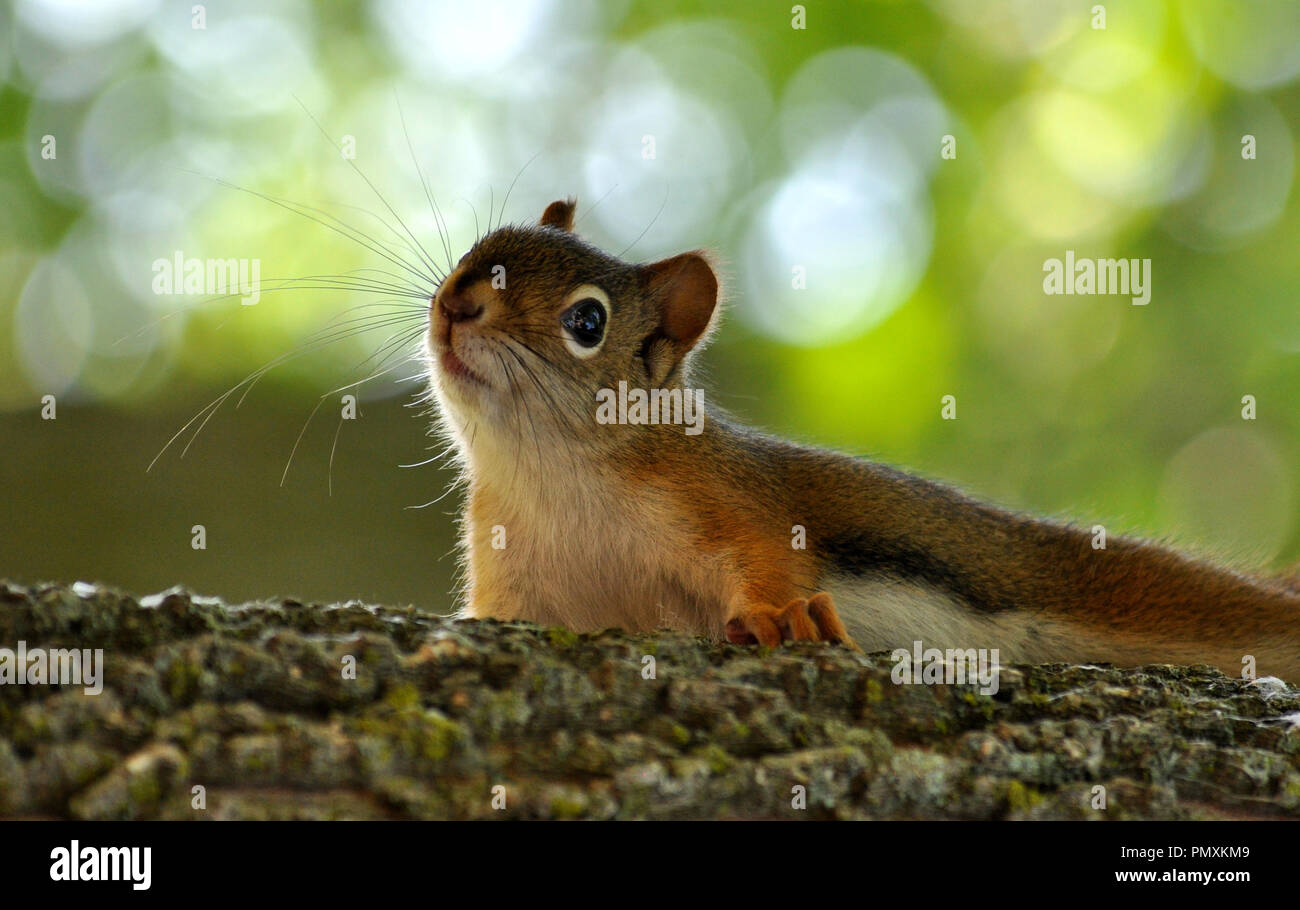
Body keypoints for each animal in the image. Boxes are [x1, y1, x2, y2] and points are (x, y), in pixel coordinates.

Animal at [425, 198, 1300, 682]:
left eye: (587, 321)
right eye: (478, 247)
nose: (455, 303)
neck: (552, 471)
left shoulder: (728, 498)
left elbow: (770, 561)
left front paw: (779, 618)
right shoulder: (517, 583)